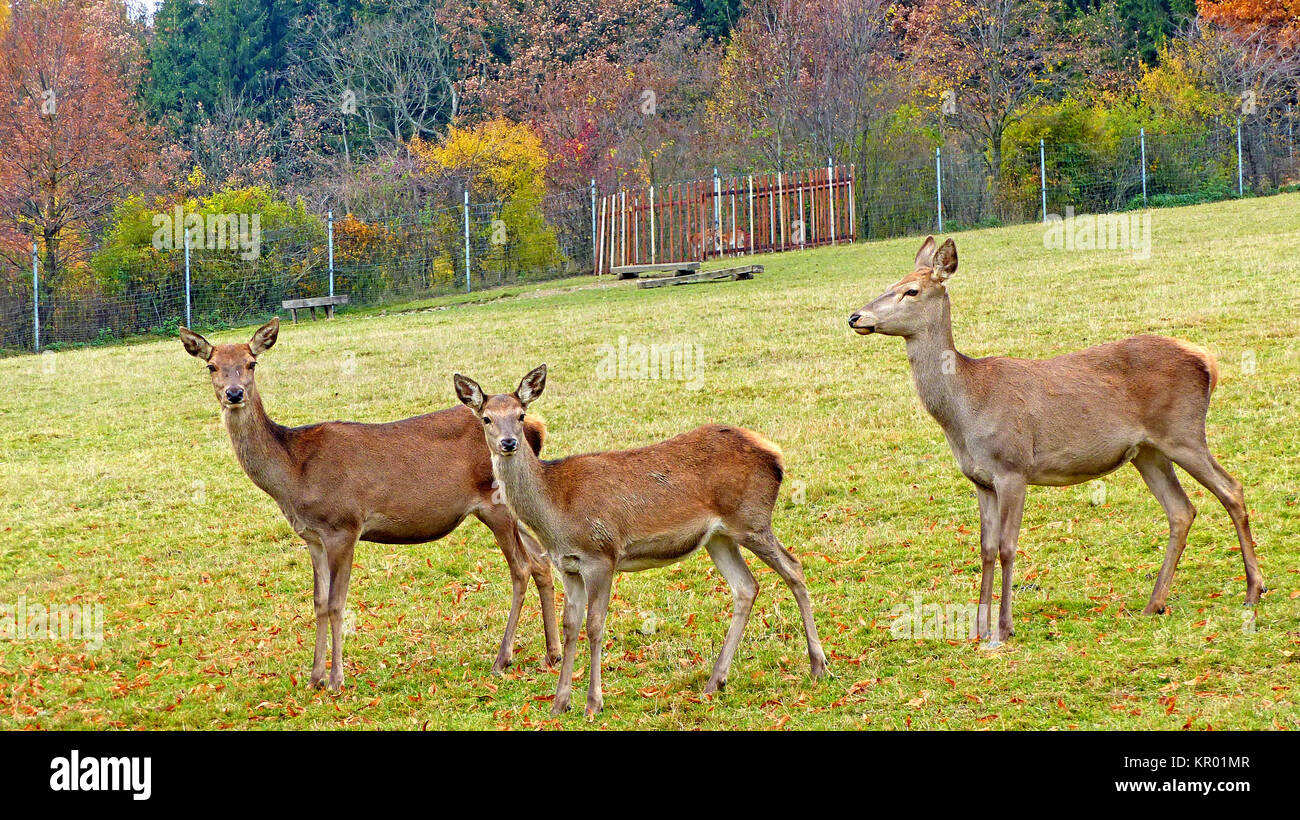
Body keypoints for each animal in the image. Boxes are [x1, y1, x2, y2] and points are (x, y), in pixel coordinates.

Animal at [178, 318, 560, 690]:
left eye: (251, 363)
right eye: (212, 366)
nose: (234, 393)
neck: (294, 472)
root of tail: (535, 427)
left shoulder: (343, 525)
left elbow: (337, 603)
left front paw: (335, 679)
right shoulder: (312, 537)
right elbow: (318, 602)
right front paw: (313, 677)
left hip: (495, 505)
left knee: (521, 567)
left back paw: (503, 659)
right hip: (513, 507)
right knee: (541, 559)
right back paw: (552, 653)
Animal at [453, 365, 828, 716]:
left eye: (521, 415)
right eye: (486, 418)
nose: (509, 443)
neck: (556, 511)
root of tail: (776, 456)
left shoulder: (601, 555)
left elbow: (595, 625)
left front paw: (593, 703)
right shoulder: (568, 566)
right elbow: (571, 625)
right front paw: (559, 703)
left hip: (750, 519)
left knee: (794, 567)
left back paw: (818, 665)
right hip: (719, 537)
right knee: (747, 587)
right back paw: (715, 681)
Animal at [848, 236, 1265, 646]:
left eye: (911, 290)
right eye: (890, 283)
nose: (856, 317)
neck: (965, 412)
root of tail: (1208, 361)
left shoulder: (1013, 467)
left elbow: (1007, 547)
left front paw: (1003, 630)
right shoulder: (981, 480)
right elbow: (985, 548)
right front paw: (978, 629)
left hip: (1183, 432)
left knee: (1231, 489)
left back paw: (1252, 590)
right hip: (1147, 452)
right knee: (1181, 509)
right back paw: (1154, 603)